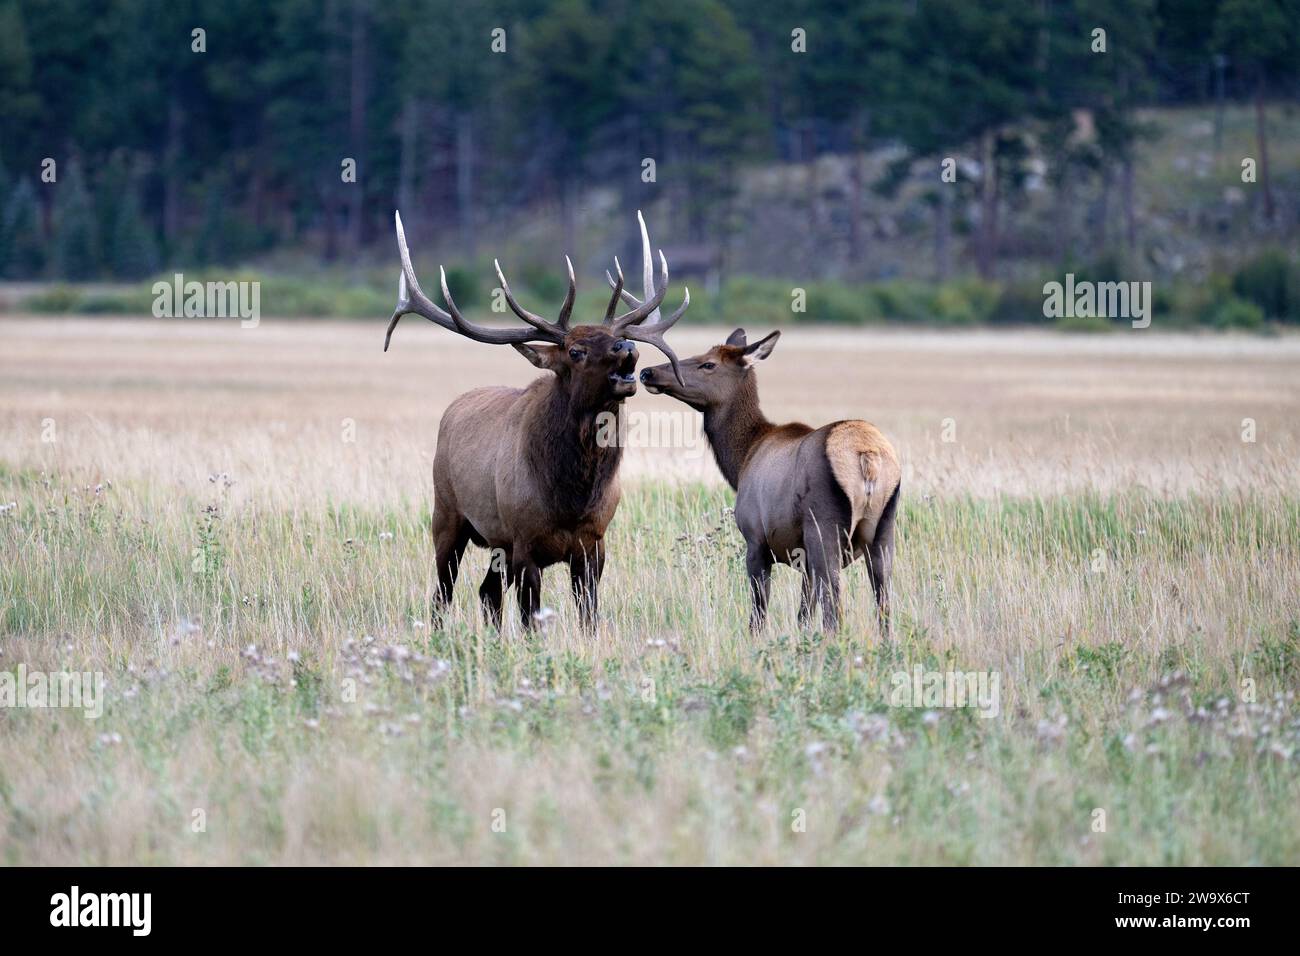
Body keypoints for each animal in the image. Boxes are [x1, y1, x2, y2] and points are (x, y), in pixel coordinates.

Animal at [383, 210, 689, 632]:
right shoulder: (525, 542)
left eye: (612, 336)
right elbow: (531, 620)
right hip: (446, 515)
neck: (572, 497)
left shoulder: (595, 543)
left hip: (496, 544)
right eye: (575, 350)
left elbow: (589, 616)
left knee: (486, 591)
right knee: (442, 594)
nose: (627, 346)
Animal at [634, 325, 900, 636]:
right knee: (884, 607)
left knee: (834, 609)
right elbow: (803, 614)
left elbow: (758, 615)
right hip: (884, 531)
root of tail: (867, 456)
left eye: (708, 364)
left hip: (823, 528)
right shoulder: (803, 558)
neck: (742, 459)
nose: (648, 372)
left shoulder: (755, 540)